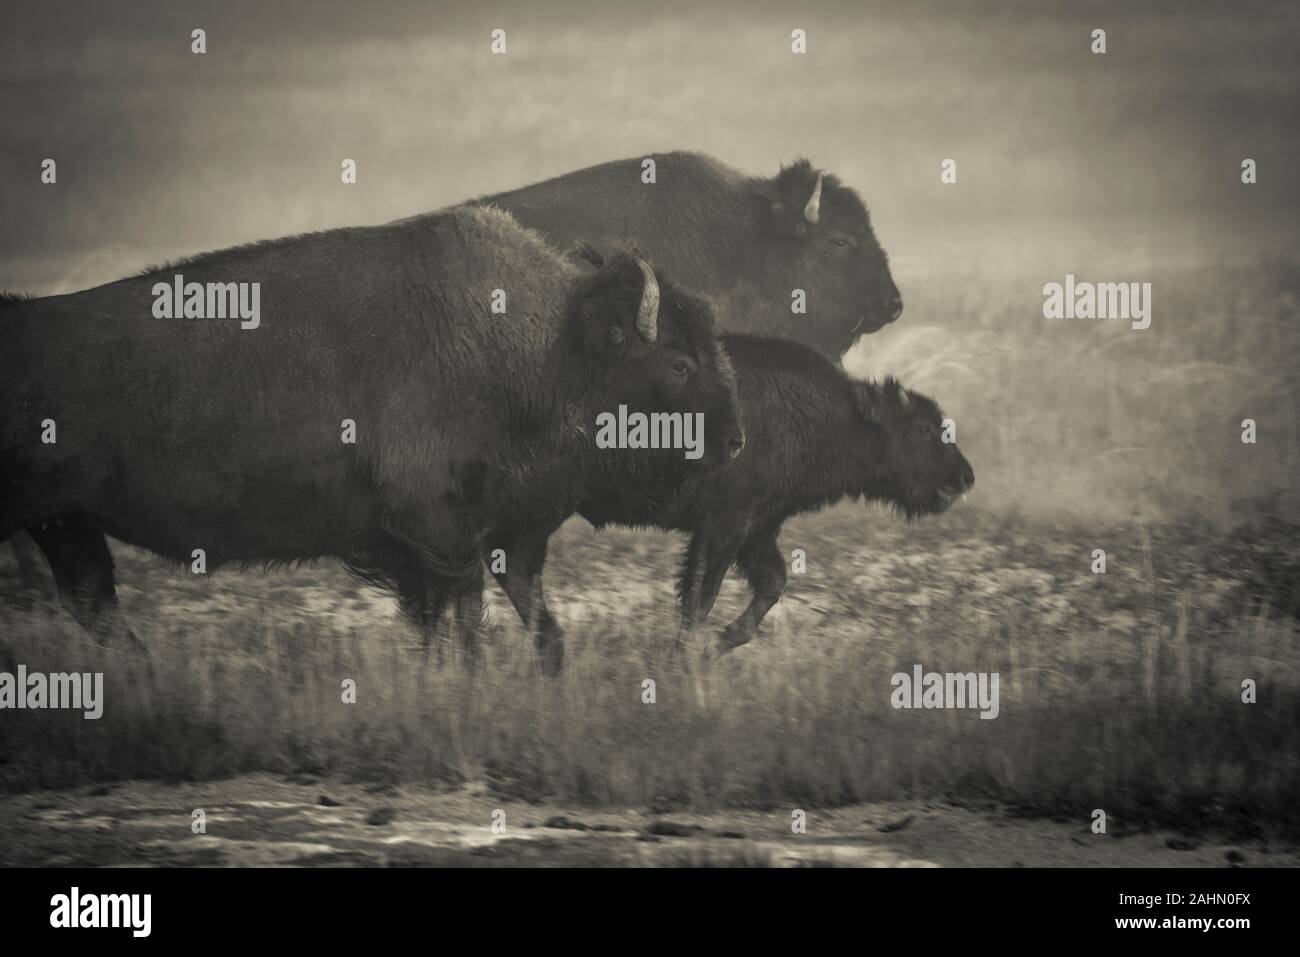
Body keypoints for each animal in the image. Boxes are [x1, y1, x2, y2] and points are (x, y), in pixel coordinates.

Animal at [0, 206, 744, 659]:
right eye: (679, 361)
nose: (735, 440)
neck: (547, 349)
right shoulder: (442, 536)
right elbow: (466, 625)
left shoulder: (501, 539)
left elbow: (536, 629)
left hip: (66, 522)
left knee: (95, 605)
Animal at [486, 333, 974, 652]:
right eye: (923, 428)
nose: (965, 477)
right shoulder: (723, 530)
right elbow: (701, 598)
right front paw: (687, 656)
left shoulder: (758, 530)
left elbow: (772, 583)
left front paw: (716, 645)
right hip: (545, 507)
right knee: (514, 563)